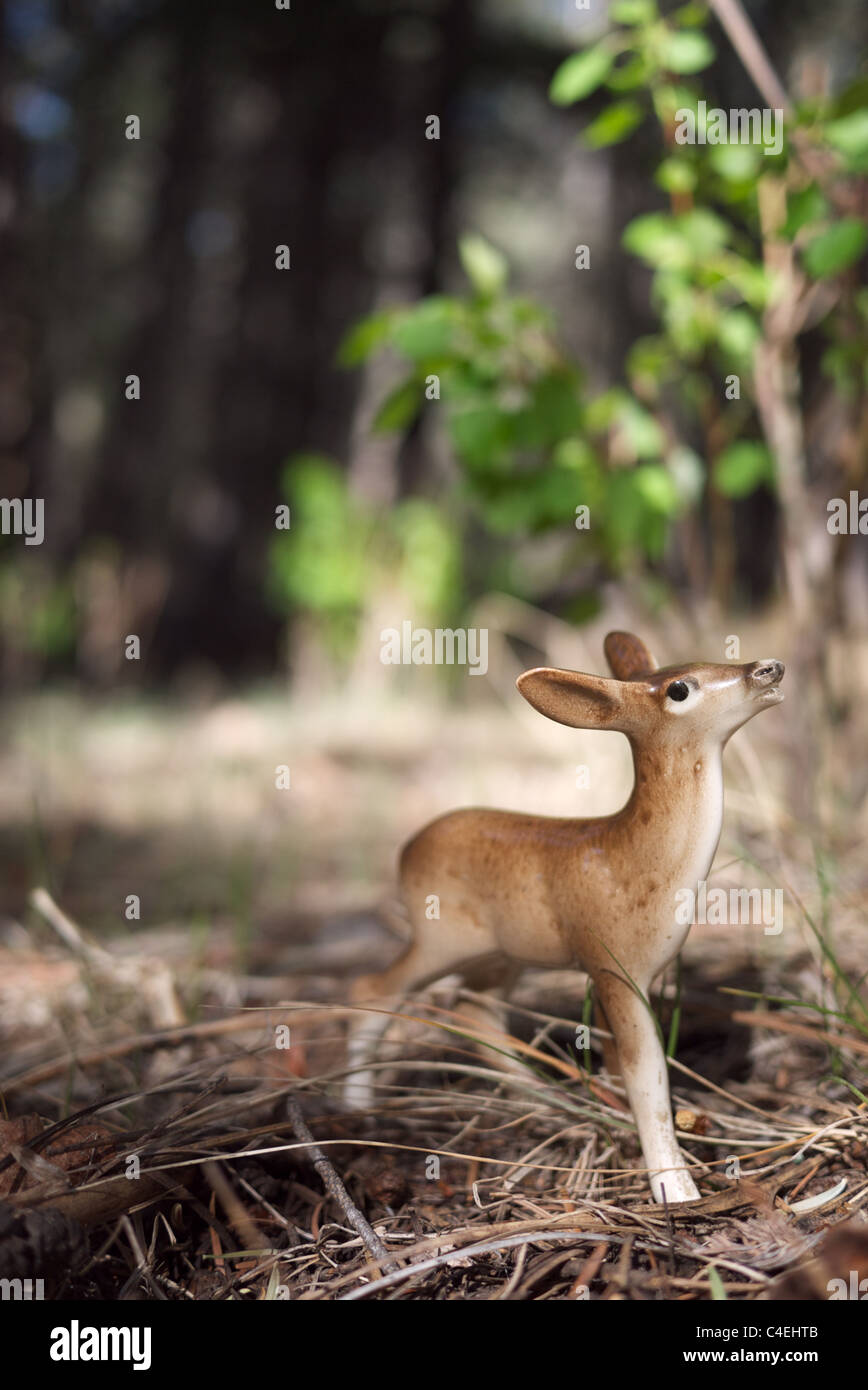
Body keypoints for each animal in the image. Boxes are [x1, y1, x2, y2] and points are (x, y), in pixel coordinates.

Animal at [344, 631, 784, 1203]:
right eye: (680, 689)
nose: (768, 668)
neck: (633, 860)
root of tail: (404, 853)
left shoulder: (611, 972)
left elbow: (615, 1057)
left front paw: (621, 1127)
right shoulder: (612, 962)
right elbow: (647, 1072)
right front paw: (675, 1188)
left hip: (501, 953)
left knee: (471, 1011)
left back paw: (547, 1099)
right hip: (440, 935)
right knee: (376, 987)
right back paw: (356, 1105)